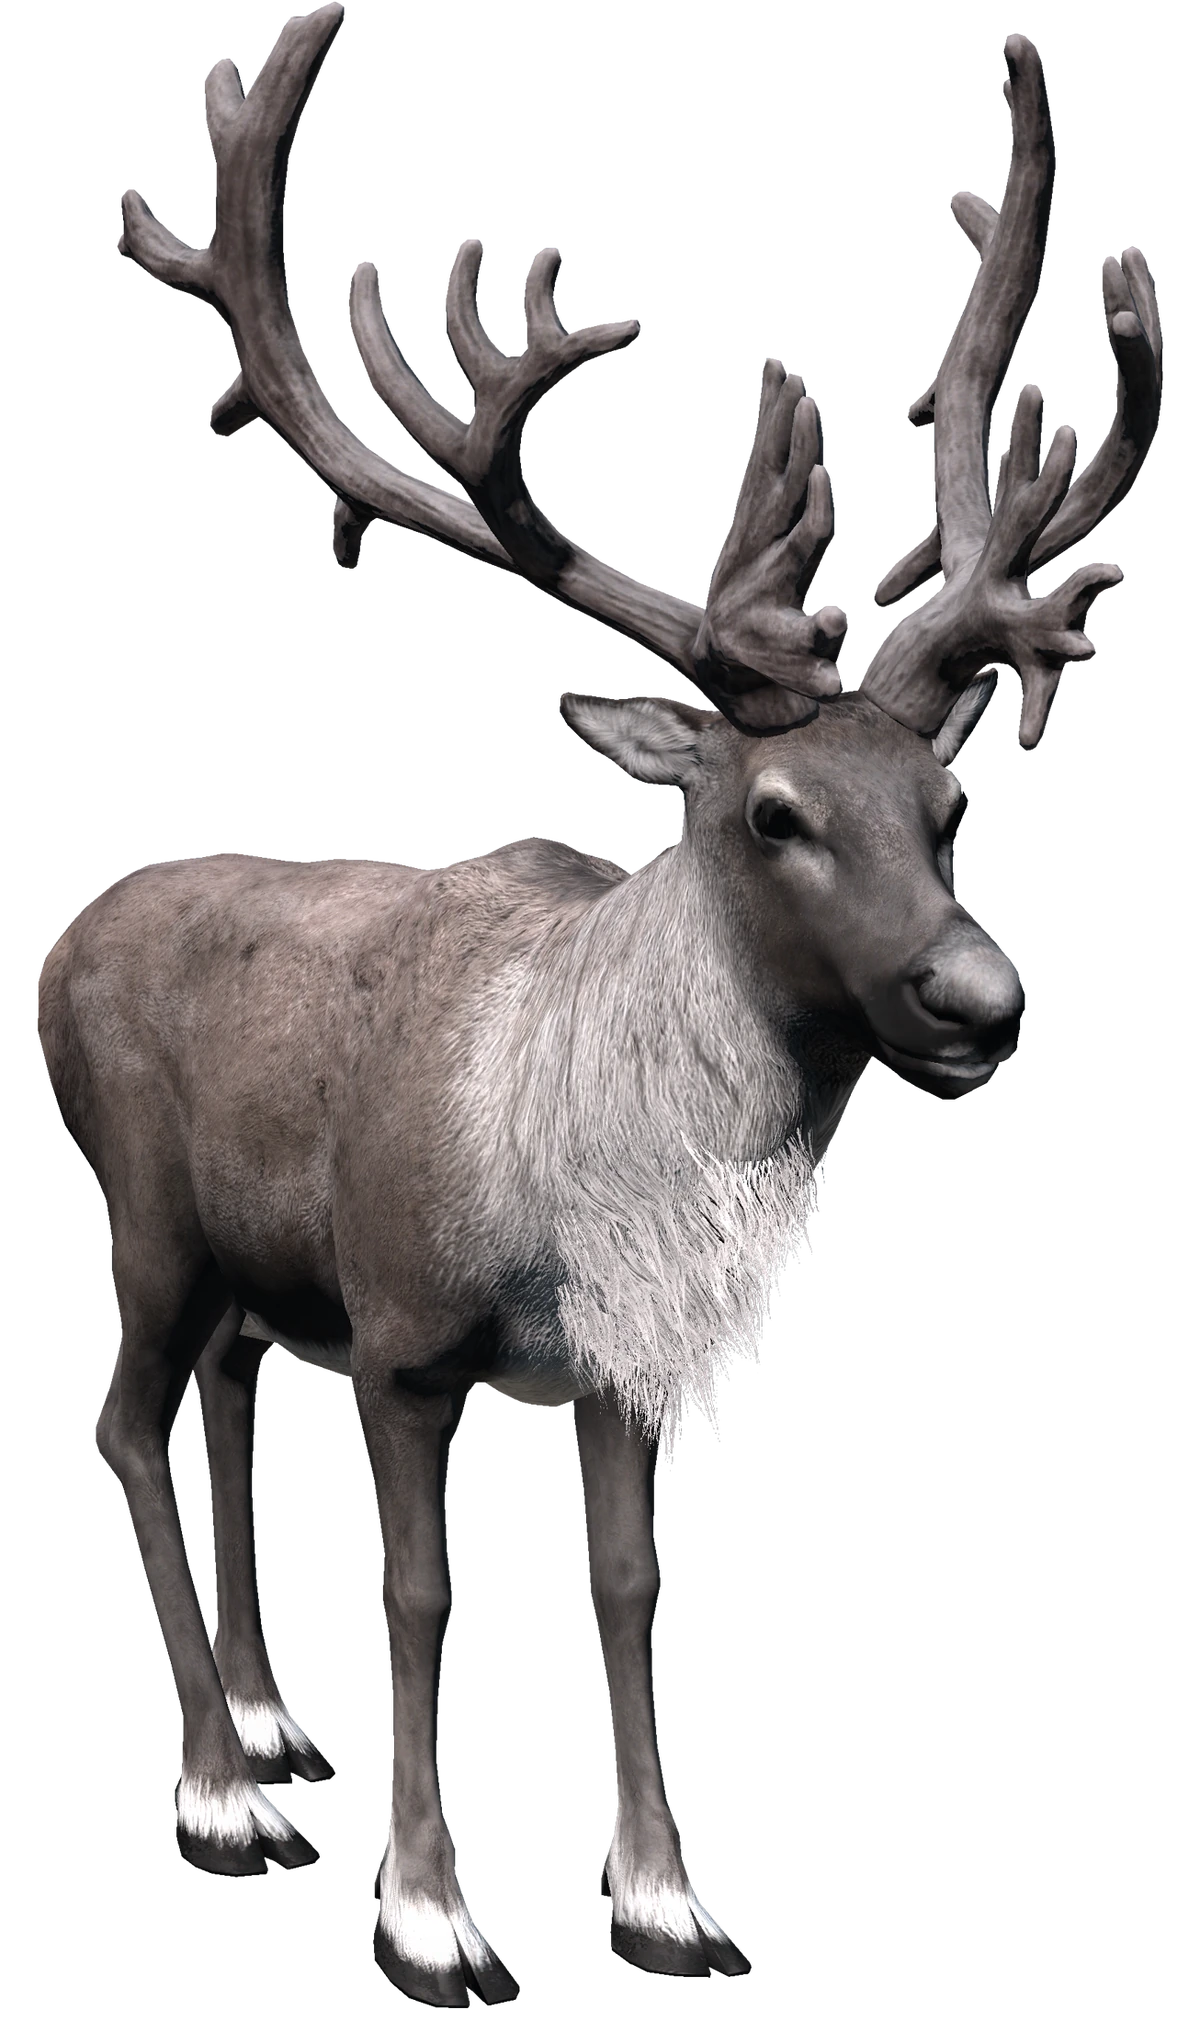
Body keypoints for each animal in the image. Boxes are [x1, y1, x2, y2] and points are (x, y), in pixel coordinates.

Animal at [47, 5, 1165, 2005]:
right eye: (773, 811)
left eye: (950, 806)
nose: (981, 995)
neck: (598, 1189)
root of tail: (56, 943)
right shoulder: (403, 1338)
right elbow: (421, 1592)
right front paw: (430, 1914)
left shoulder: (618, 1369)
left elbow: (629, 1586)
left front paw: (666, 1899)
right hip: (150, 1213)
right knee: (120, 1416)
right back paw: (220, 1793)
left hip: (253, 1263)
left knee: (221, 1398)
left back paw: (267, 1723)